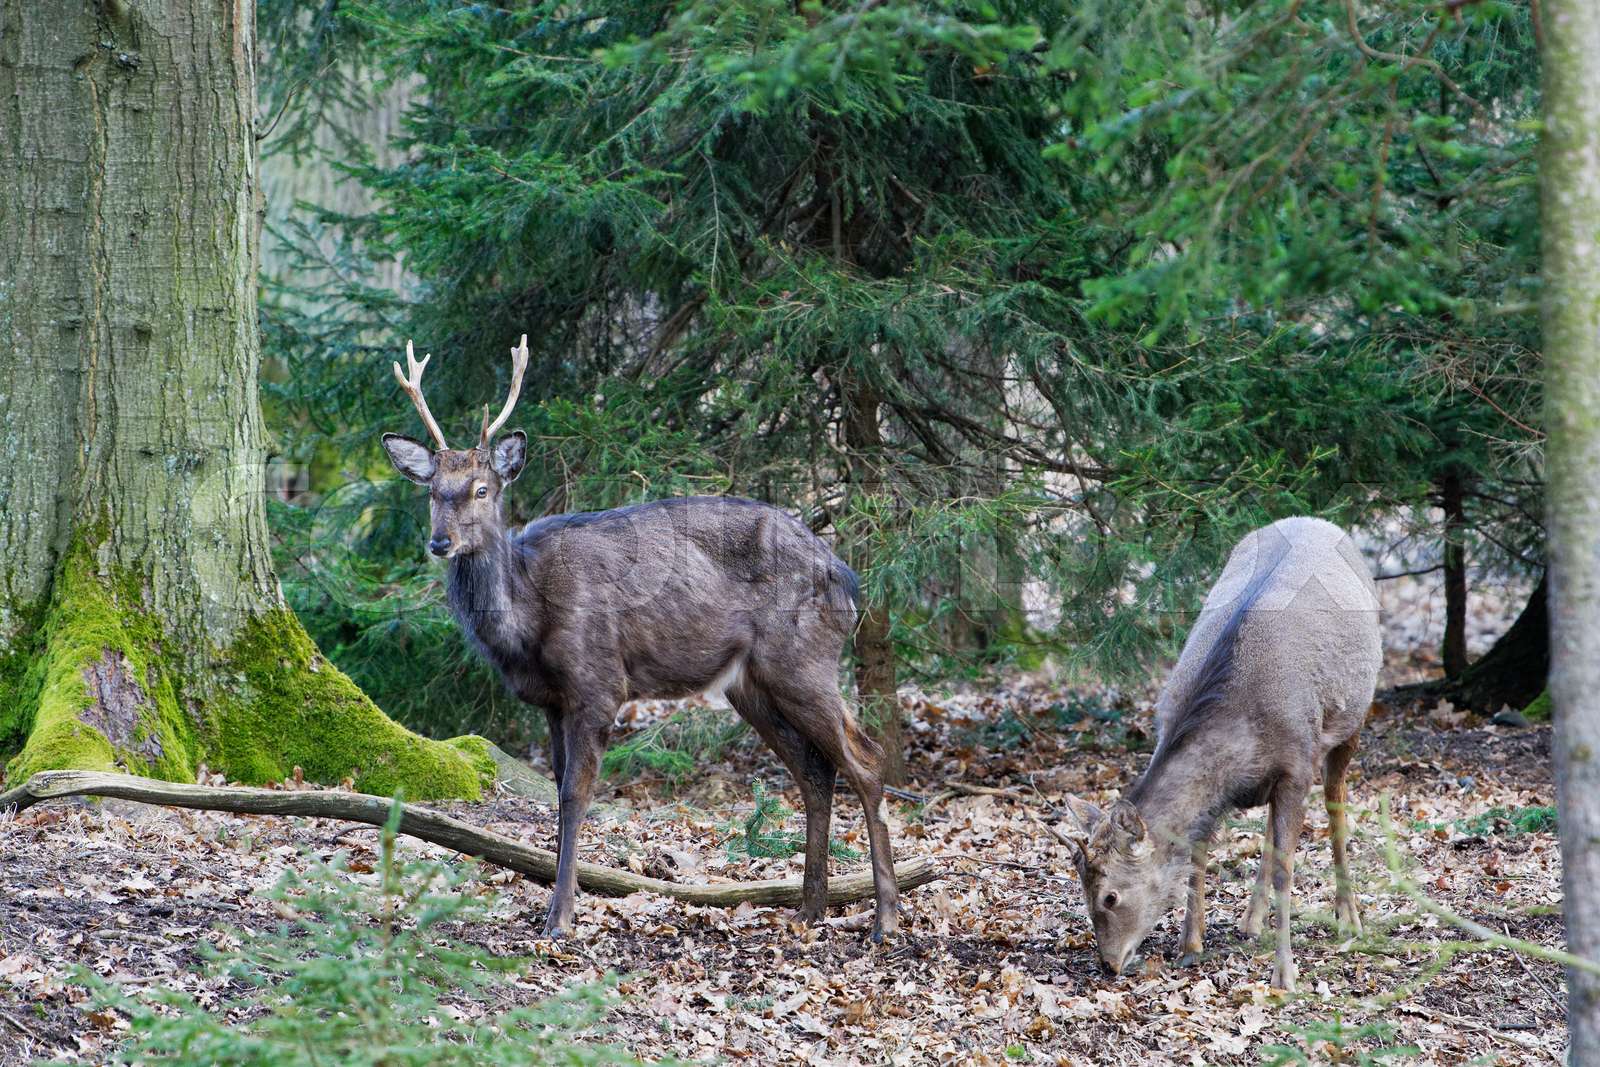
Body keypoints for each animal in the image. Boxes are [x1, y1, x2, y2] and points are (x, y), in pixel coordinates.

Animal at [379, 336, 900, 940]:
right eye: (433, 492)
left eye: (482, 489)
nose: (439, 542)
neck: (527, 621)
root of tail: (848, 577)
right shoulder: (552, 701)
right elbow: (558, 789)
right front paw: (554, 905)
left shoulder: (598, 683)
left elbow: (575, 794)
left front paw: (561, 916)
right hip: (751, 683)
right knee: (815, 772)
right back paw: (810, 909)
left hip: (804, 659)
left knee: (867, 760)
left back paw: (885, 918)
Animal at [1061, 517, 1381, 991]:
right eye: (1080, 888)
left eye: (1111, 896)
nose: (1108, 964)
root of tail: (1319, 521)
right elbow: (1198, 859)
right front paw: (1190, 946)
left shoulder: (1297, 765)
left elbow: (1287, 869)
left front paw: (1284, 973)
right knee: (1271, 828)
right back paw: (1251, 919)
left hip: (1350, 723)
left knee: (1337, 806)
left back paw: (1349, 916)